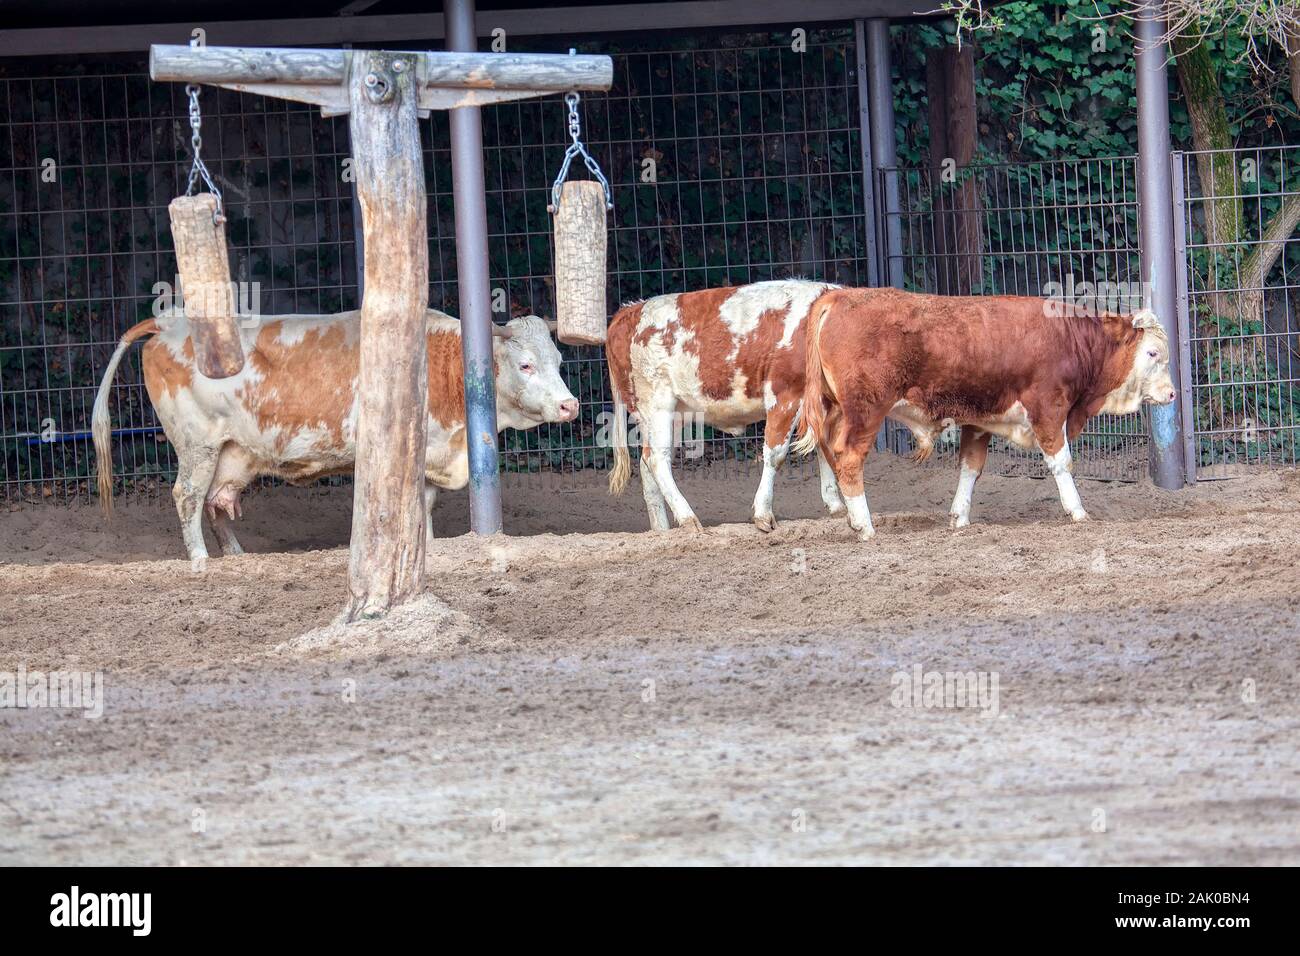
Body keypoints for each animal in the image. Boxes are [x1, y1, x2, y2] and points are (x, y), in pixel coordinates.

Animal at [92, 309, 578, 562]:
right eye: (525, 364)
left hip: (233, 453)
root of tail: (167, 323)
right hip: (199, 445)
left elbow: (423, 505)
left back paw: (237, 556)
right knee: (188, 497)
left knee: (215, 502)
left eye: (557, 360)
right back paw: (200, 561)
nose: (569, 405)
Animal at [605, 280, 846, 532]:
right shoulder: (784, 393)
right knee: (656, 459)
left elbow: (824, 447)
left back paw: (662, 529)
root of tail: (630, 310)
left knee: (646, 462)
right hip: (655, 402)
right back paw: (688, 519)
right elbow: (775, 453)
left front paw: (836, 505)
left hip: (670, 415)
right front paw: (763, 513)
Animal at [792, 287, 1177, 540]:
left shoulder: (980, 421)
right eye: (1153, 353)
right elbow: (1061, 462)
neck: (1070, 340)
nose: (1172, 393)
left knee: (828, 451)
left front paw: (959, 517)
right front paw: (1078, 511)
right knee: (848, 458)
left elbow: (971, 467)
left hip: (834, 409)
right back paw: (865, 525)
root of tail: (840, 297)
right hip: (865, 410)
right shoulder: (1048, 409)